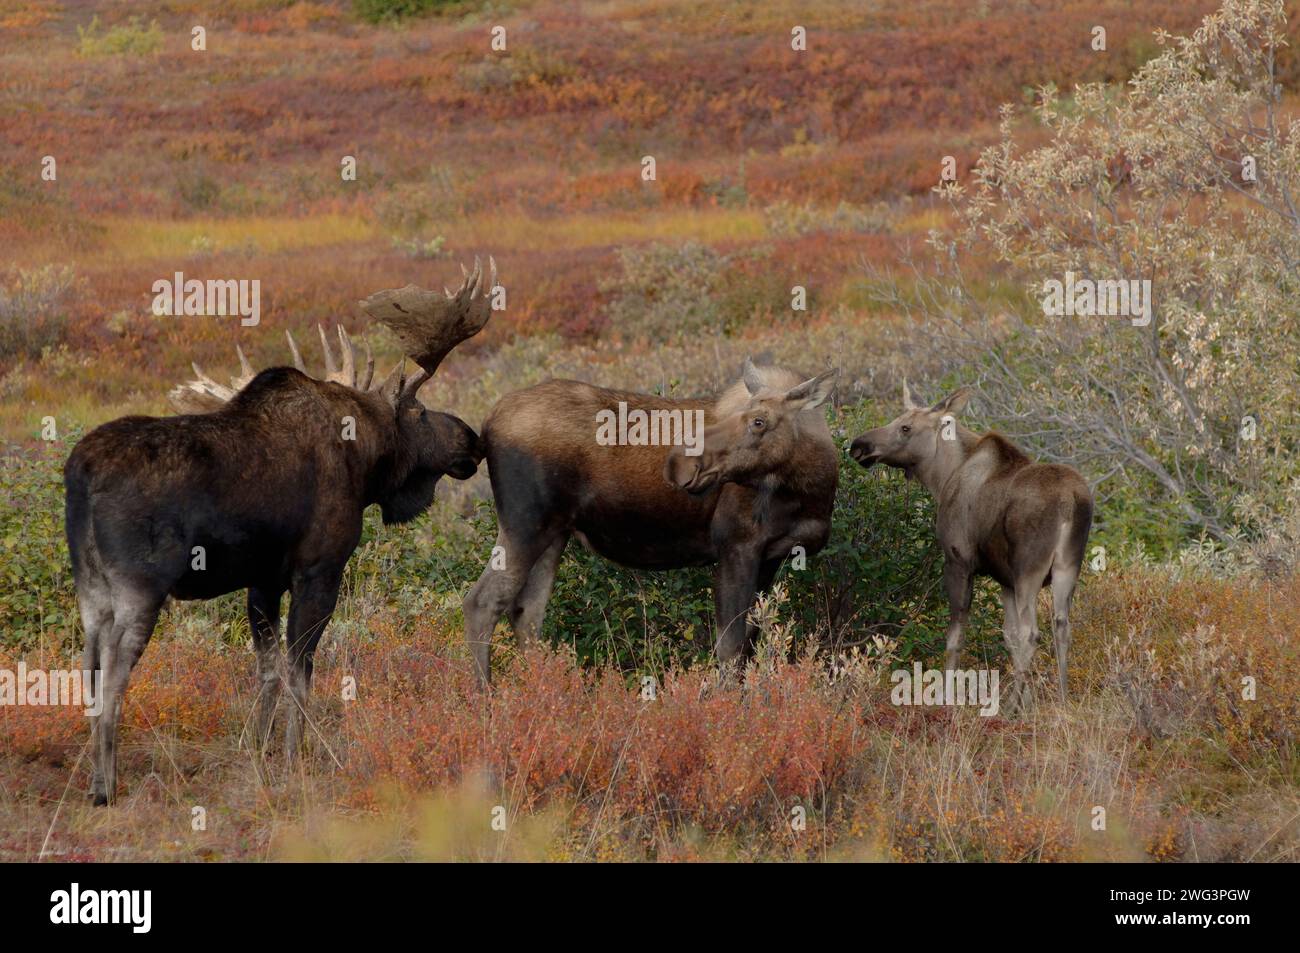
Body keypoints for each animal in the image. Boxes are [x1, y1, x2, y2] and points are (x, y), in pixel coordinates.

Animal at [63, 258, 496, 805]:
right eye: (419, 412)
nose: (472, 439)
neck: (365, 460)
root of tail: (80, 473)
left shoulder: (262, 581)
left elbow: (266, 670)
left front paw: (256, 747)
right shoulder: (319, 570)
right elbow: (299, 671)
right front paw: (296, 756)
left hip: (90, 587)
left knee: (87, 668)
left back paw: (96, 778)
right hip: (139, 586)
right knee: (114, 675)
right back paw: (107, 786)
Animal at [462, 358, 838, 685]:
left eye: (759, 421)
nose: (682, 466)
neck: (808, 490)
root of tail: (487, 426)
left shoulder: (771, 557)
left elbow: (748, 644)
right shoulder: (736, 545)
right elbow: (729, 648)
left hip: (554, 533)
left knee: (527, 611)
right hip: (525, 524)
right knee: (482, 601)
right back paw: (485, 698)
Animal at [848, 382, 1093, 710]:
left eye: (905, 427)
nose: (859, 446)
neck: (942, 476)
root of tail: (1072, 502)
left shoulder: (959, 562)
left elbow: (955, 639)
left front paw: (946, 698)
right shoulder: (1005, 579)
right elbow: (1008, 637)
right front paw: (1028, 702)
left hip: (1030, 569)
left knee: (1033, 633)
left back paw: (1010, 706)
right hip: (1067, 567)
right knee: (1061, 627)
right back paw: (1062, 699)